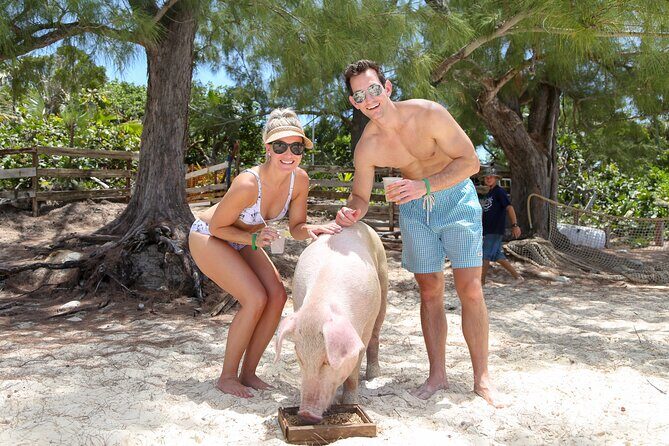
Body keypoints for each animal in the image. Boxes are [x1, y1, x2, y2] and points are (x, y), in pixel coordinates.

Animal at [275, 222, 388, 424]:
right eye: (300, 358)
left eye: (327, 361)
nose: (306, 413)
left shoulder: (364, 327)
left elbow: (353, 371)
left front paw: (350, 402)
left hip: (383, 280)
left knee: (376, 334)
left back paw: (373, 376)